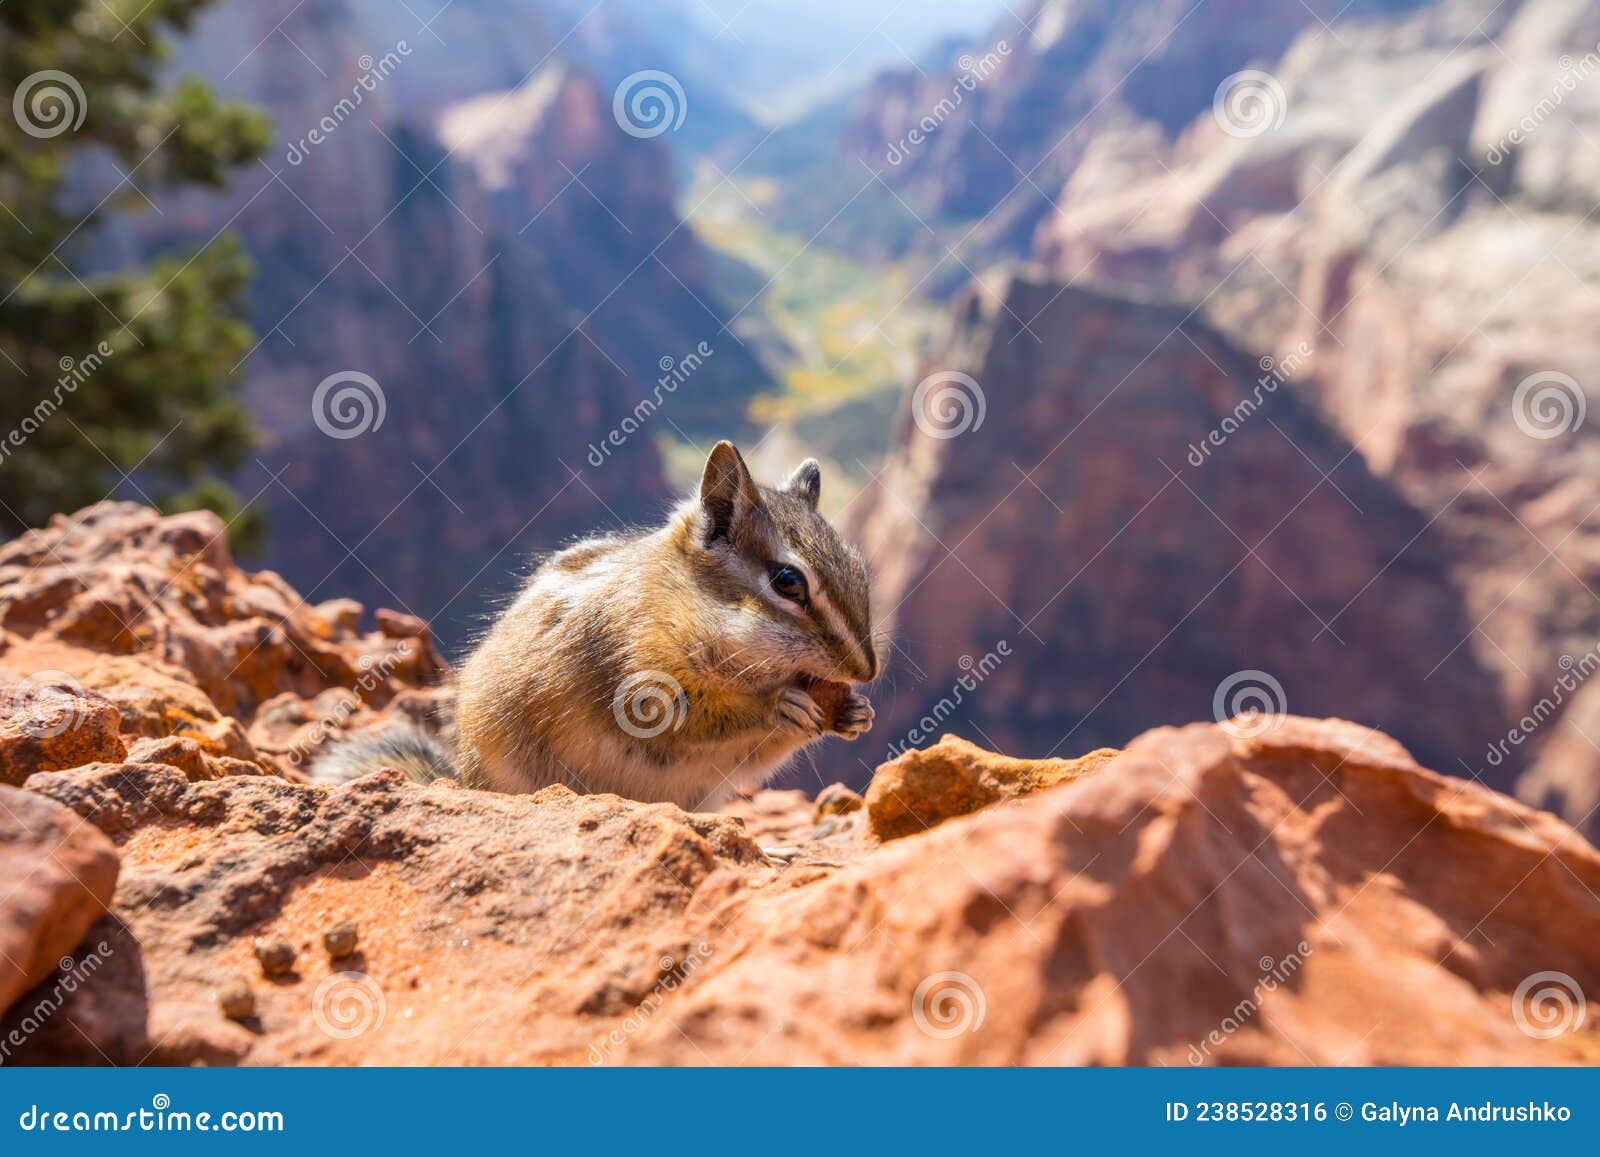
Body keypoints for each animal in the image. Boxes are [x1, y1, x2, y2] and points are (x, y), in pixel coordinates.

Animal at [312, 441, 878, 810]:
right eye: (788, 582)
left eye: (859, 566)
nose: (866, 671)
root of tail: (464, 778)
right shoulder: (633, 673)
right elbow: (691, 720)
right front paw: (779, 705)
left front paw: (855, 713)